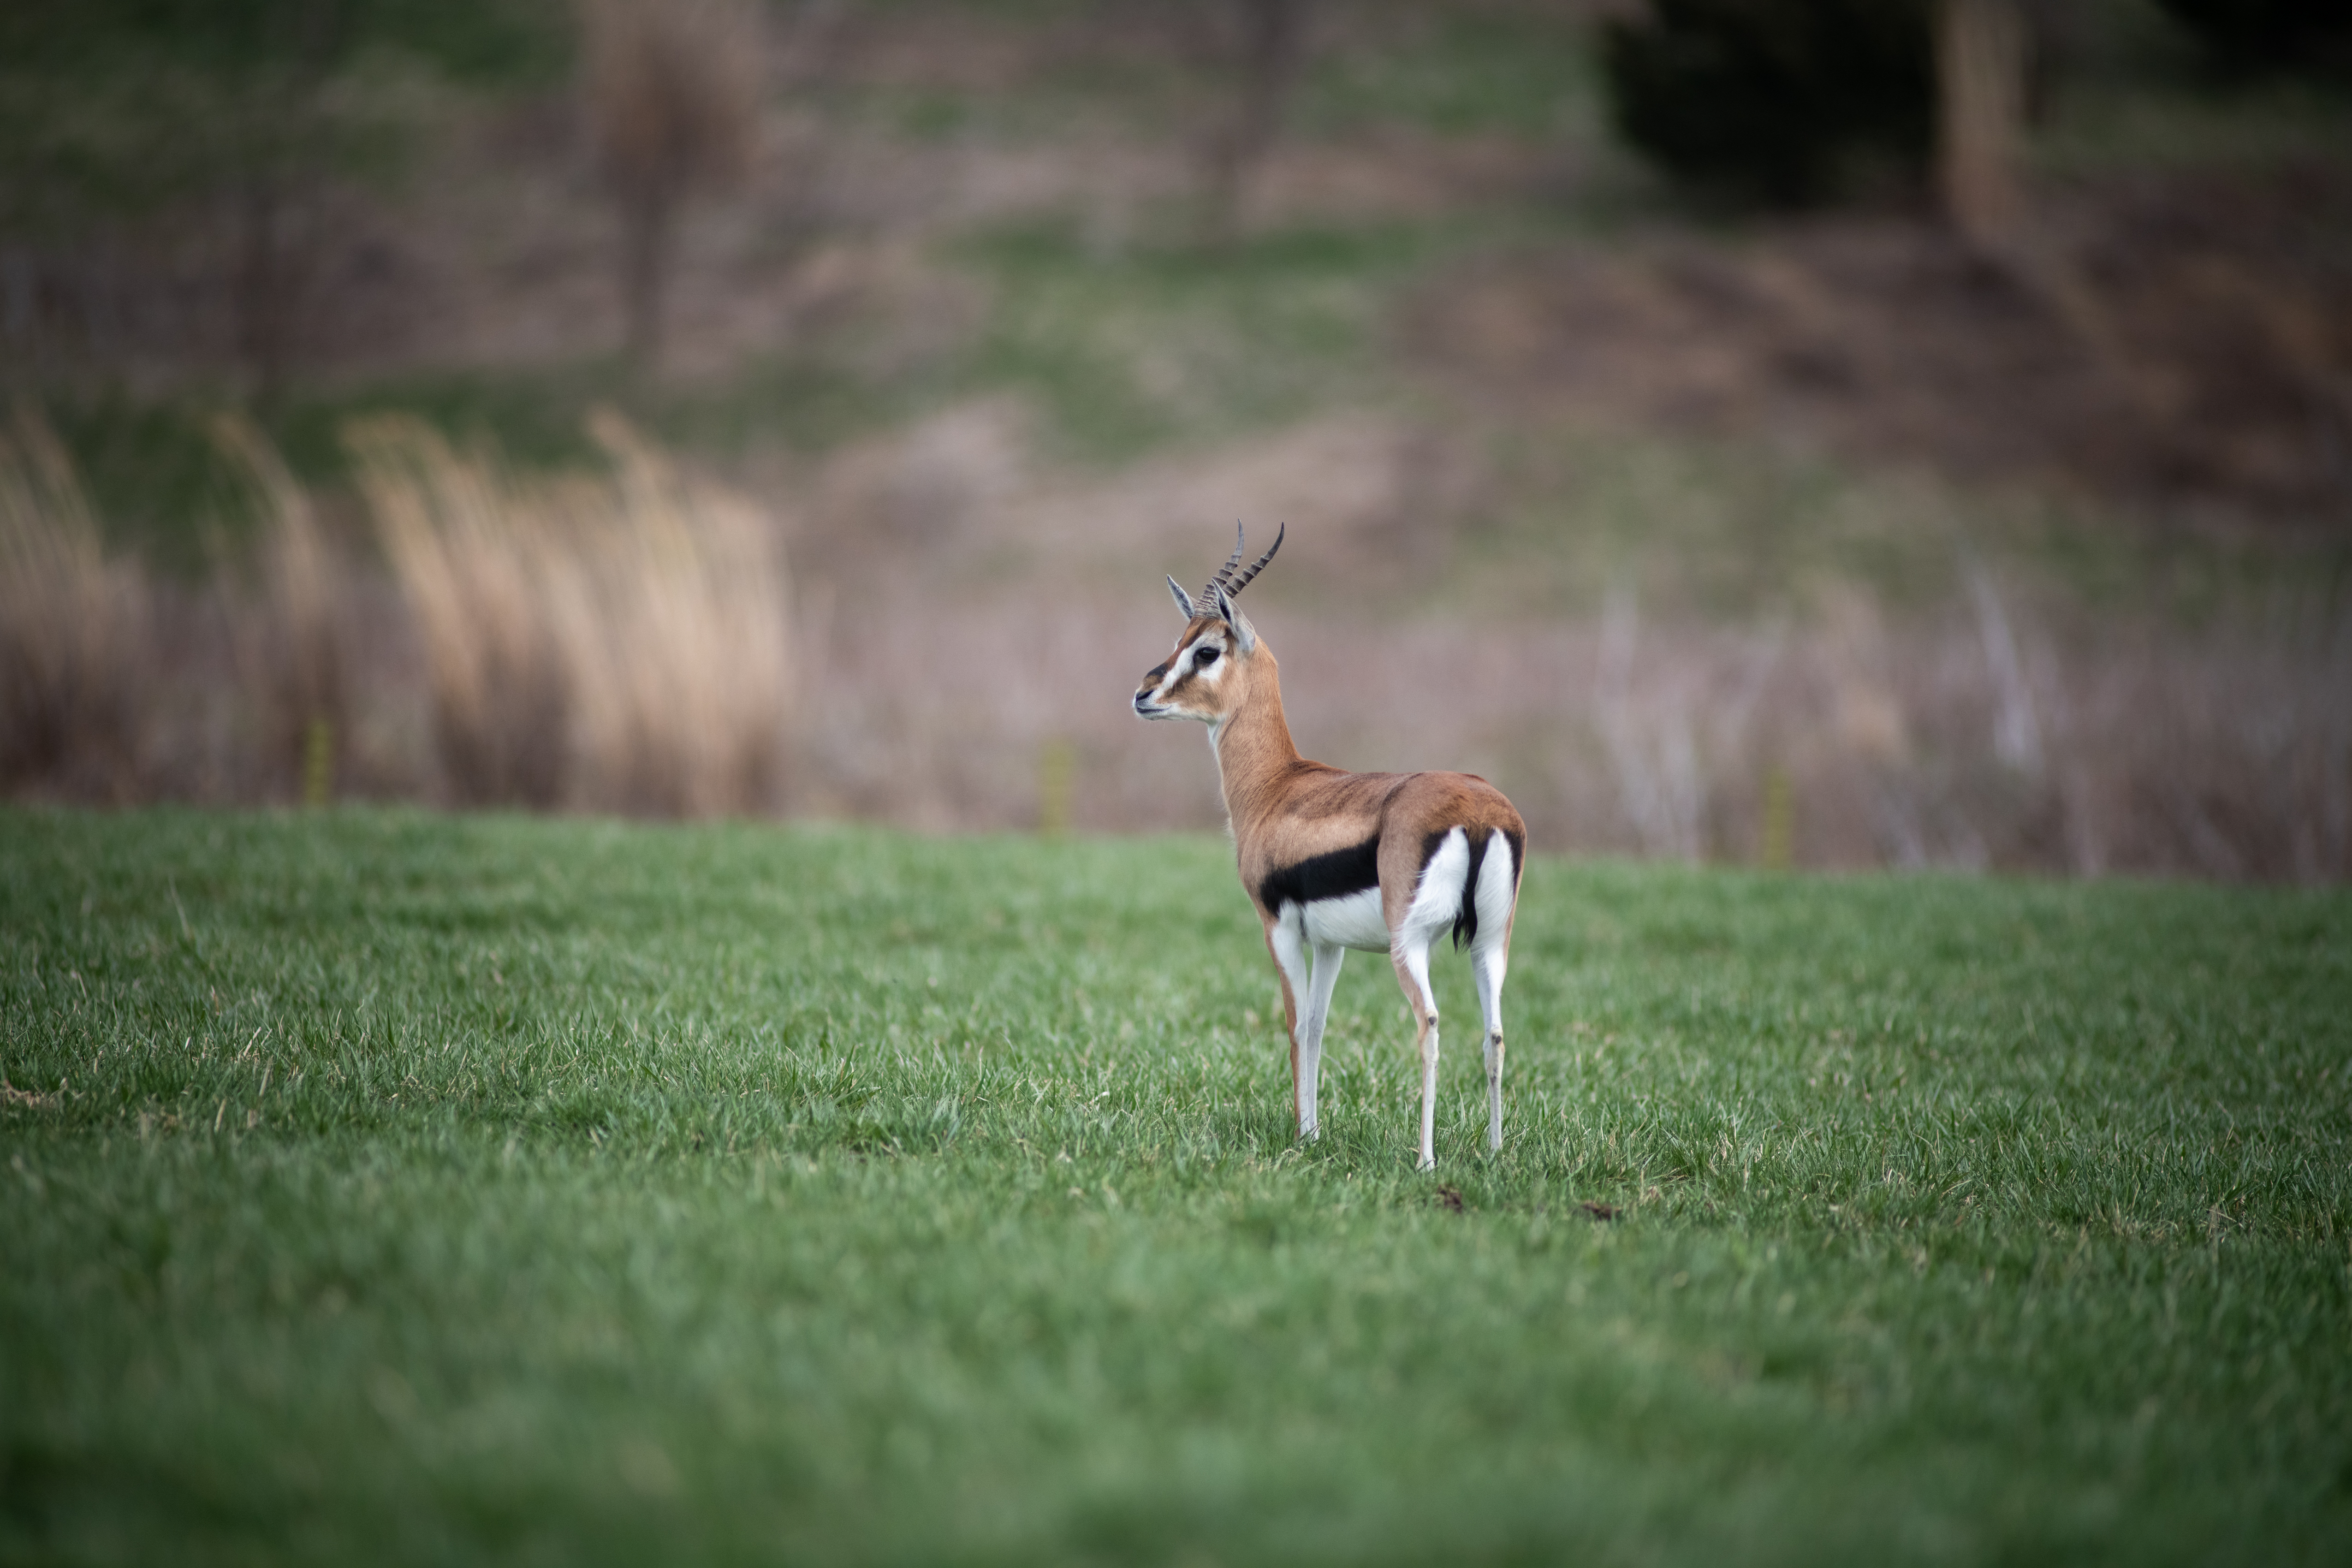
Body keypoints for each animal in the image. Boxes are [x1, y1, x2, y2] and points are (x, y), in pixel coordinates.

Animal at [1133, 525, 1526, 1170]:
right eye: (1178, 641)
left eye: (1206, 651)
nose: (1143, 695)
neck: (1277, 786)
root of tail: (1476, 813)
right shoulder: (1330, 943)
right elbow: (1318, 1025)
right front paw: (1313, 1131)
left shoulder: (1277, 926)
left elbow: (1295, 1026)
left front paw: (1303, 1134)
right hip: (1491, 941)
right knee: (1494, 1033)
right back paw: (1493, 1153)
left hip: (1409, 943)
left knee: (1429, 1023)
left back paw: (1426, 1160)